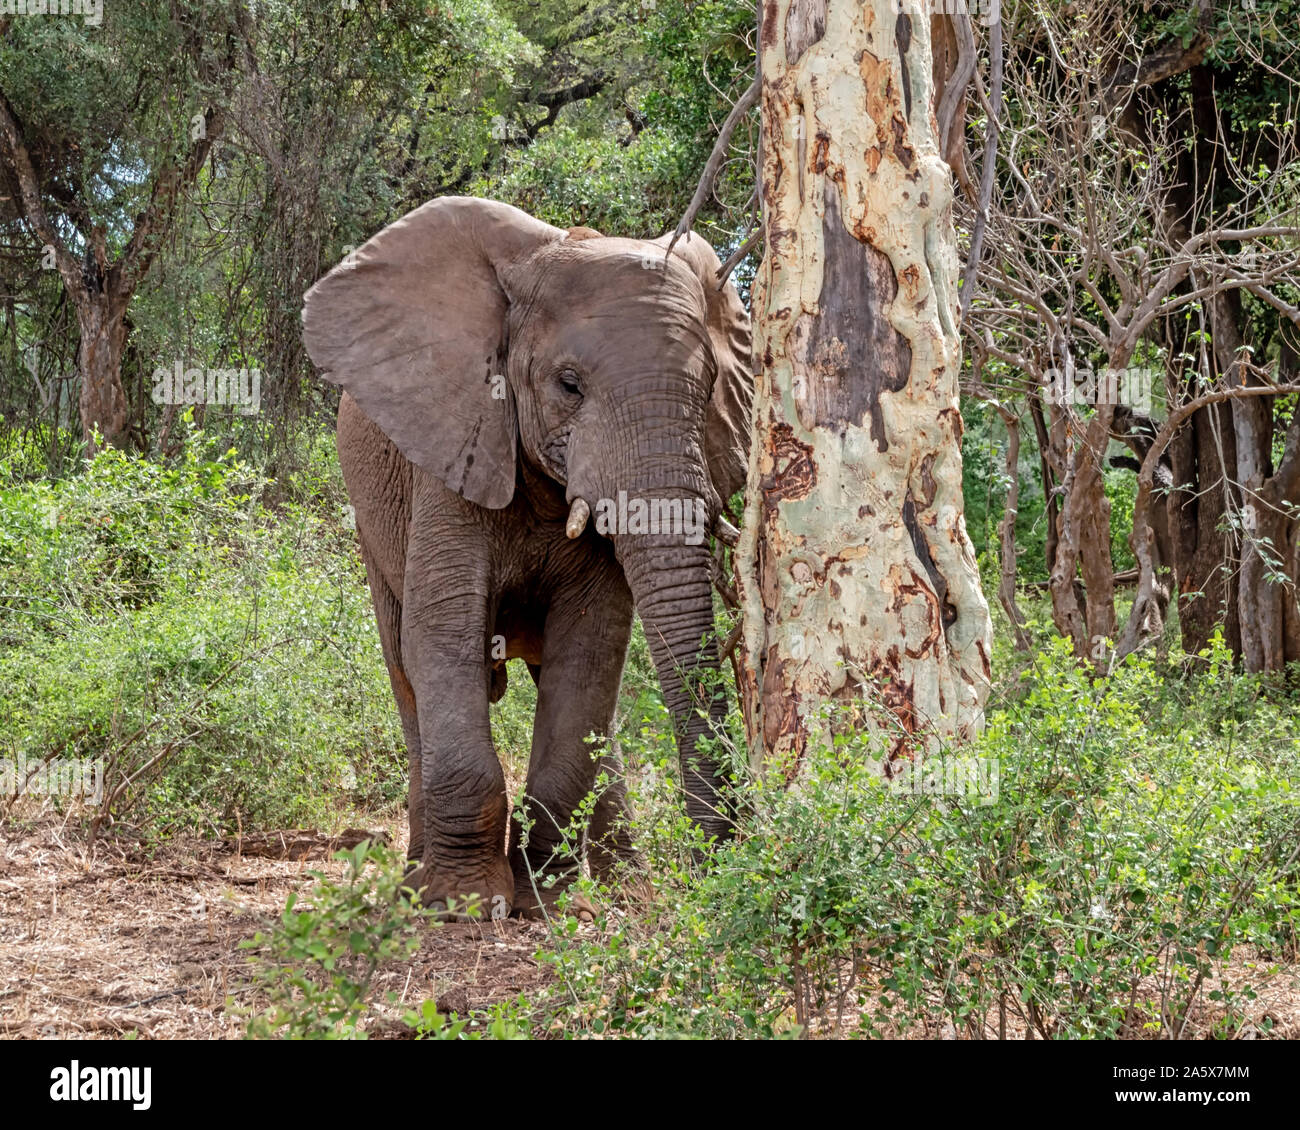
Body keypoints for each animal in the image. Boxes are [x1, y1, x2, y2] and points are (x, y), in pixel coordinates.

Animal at [302, 196, 753, 918]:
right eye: (568, 385)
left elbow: (591, 651)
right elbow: (441, 636)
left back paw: (618, 883)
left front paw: (551, 901)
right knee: (402, 665)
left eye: (709, 385)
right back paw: (416, 878)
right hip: (371, 524)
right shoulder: (454, 447)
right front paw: (462, 901)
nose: (714, 864)